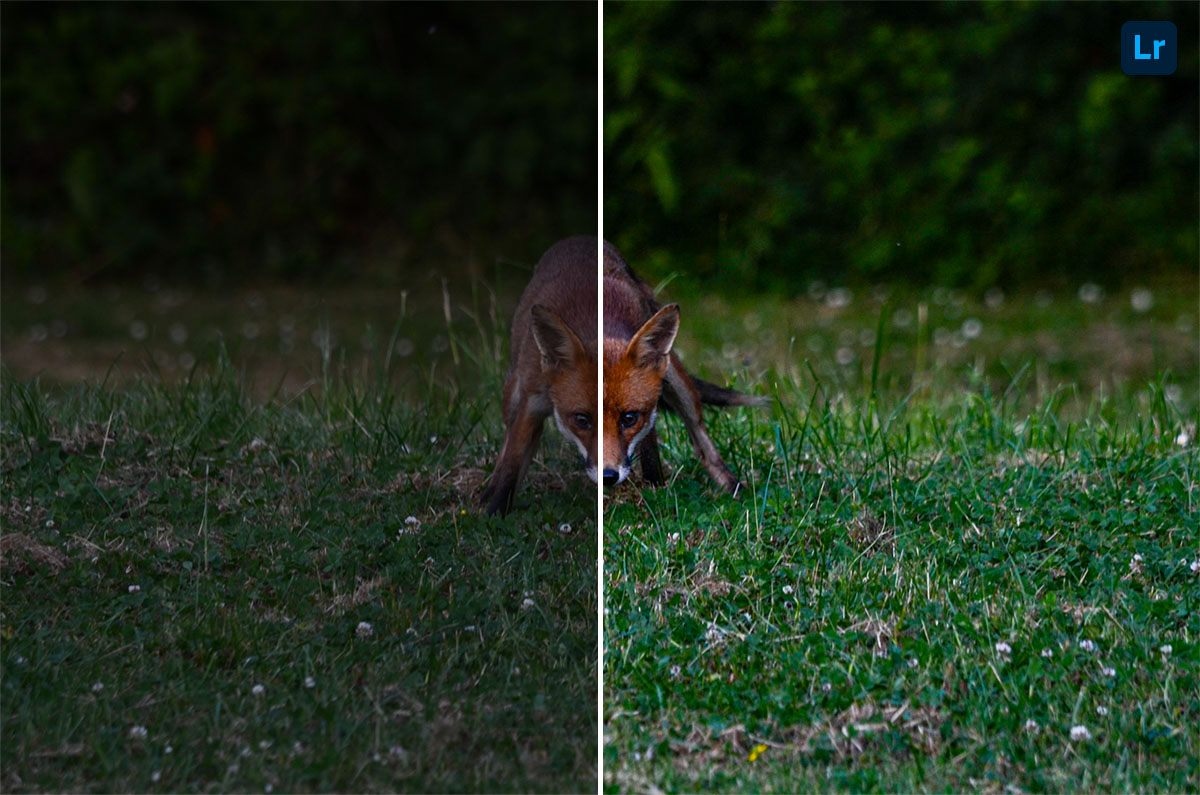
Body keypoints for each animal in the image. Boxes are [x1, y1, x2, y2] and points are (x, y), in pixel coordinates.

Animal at [482, 236, 598, 515]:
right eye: (582, 419)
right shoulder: (531, 402)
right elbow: (511, 462)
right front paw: (495, 510)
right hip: (513, 395)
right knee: (509, 438)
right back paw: (490, 490)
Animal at [603, 240, 767, 495]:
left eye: (629, 417)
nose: (608, 476)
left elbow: (649, 453)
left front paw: (654, 494)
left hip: (676, 381)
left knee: (701, 444)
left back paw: (735, 490)